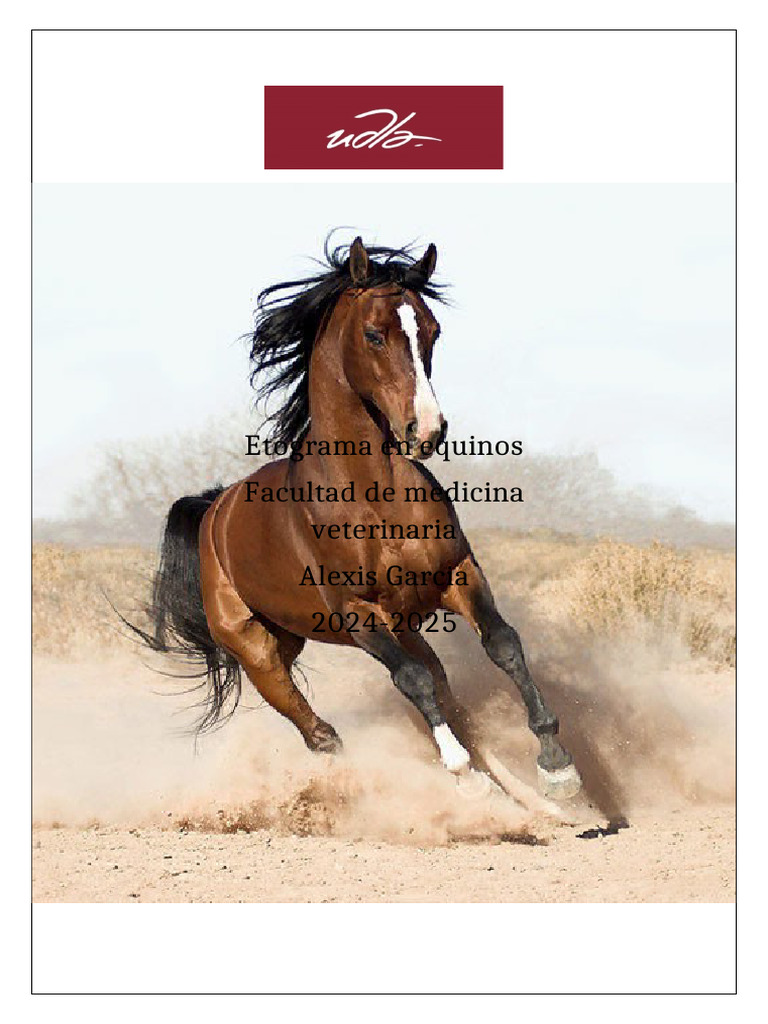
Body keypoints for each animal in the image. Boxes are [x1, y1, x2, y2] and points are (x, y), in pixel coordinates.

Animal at [133, 237, 581, 802]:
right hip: (258, 650)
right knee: (319, 730)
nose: (426, 431)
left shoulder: (457, 573)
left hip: (369, 629)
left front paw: (556, 764)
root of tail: (216, 509)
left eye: (432, 330)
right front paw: (462, 773)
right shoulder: (356, 612)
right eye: (374, 334)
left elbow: (502, 644)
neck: (374, 496)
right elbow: (411, 681)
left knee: (437, 686)